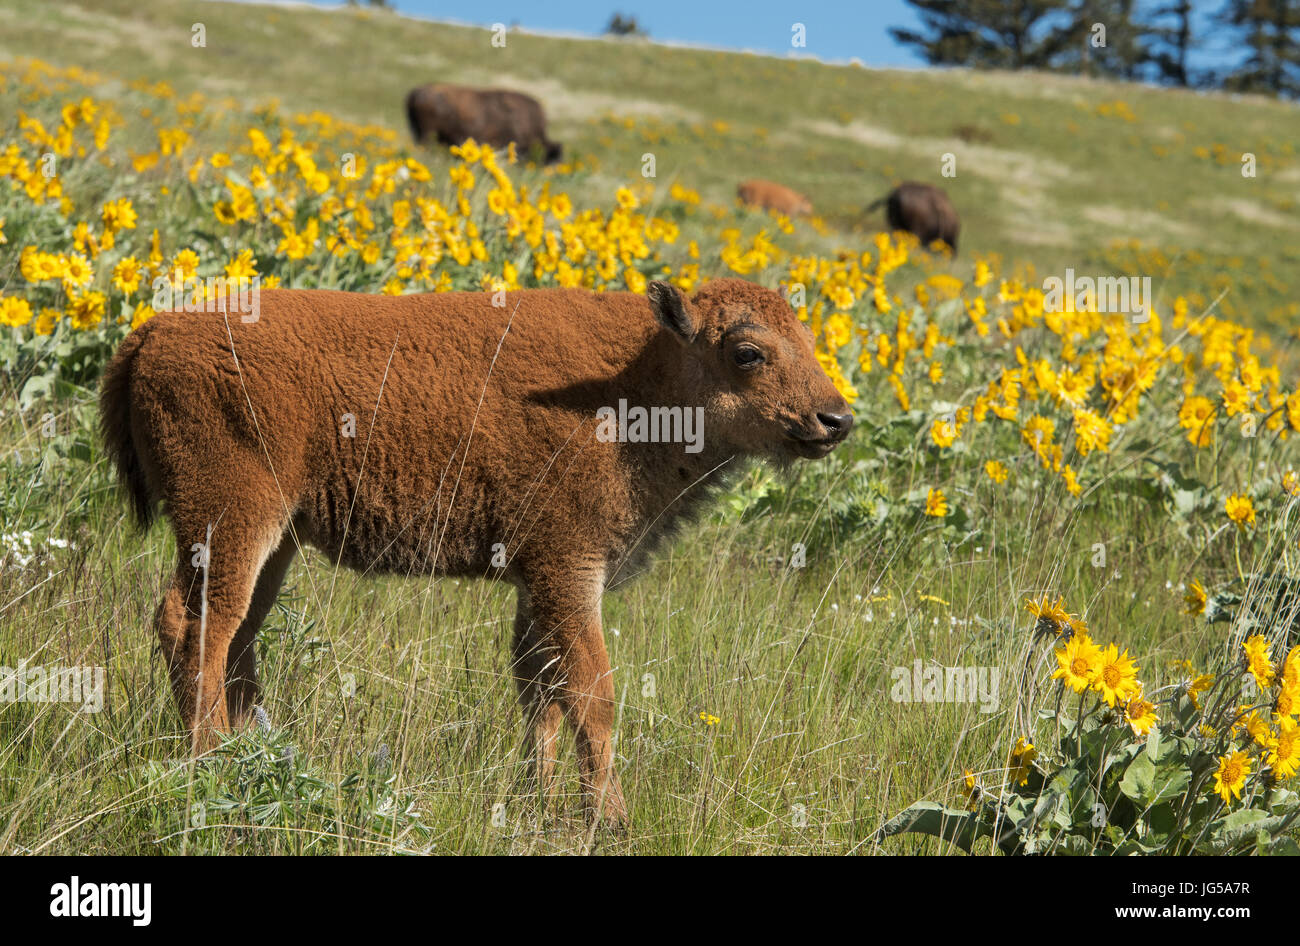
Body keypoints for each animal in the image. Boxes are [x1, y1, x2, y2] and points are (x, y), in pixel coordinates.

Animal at [99, 279, 853, 828]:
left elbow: (540, 689)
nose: (835, 419)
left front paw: (540, 804)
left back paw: (253, 754)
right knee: (196, 624)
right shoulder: (567, 570)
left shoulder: (538, 584)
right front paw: (610, 821)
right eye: (748, 352)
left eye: (808, 339)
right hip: (231, 520)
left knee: (239, 638)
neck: (640, 377)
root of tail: (152, 332)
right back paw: (210, 766)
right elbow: (592, 694)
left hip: (276, 540)